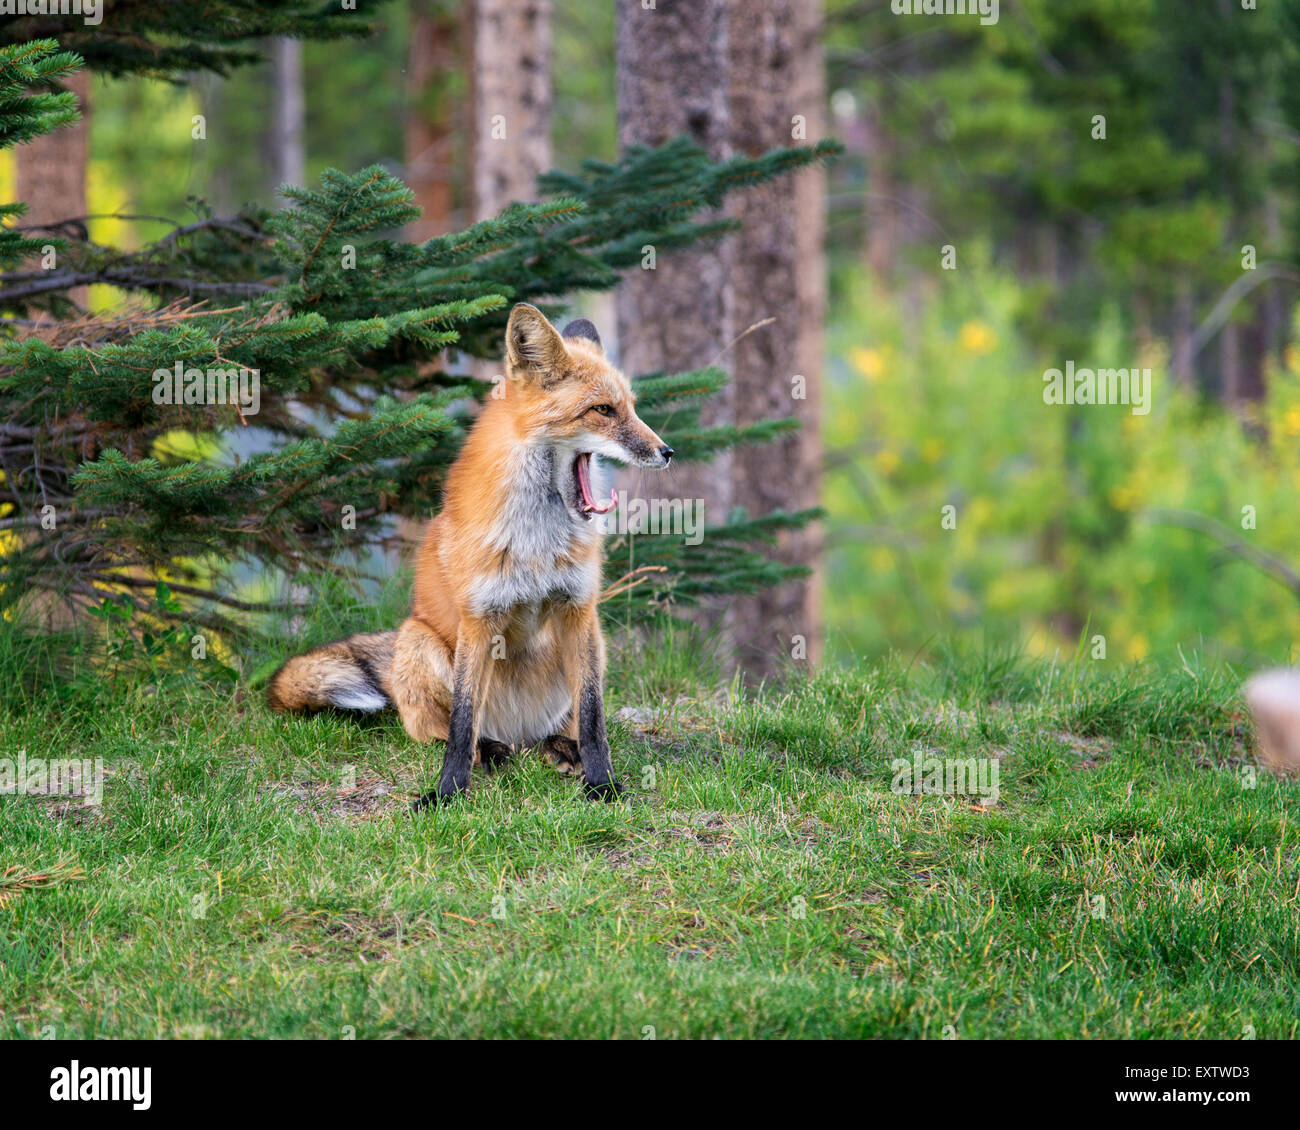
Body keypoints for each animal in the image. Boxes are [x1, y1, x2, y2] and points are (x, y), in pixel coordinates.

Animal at [267, 302, 674, 808]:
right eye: (603, 410)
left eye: (632, 407)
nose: (667, 451)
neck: (537, 544)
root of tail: (518, 732)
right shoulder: (479, 617)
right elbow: (462, 724)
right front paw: (446, 793)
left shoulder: (580, 610)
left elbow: (594, 717)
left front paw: (602, 785)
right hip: (419, 642)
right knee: (449, 730)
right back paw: (493, 753)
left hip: (590, 650)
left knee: (550, 732)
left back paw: (557, 748)